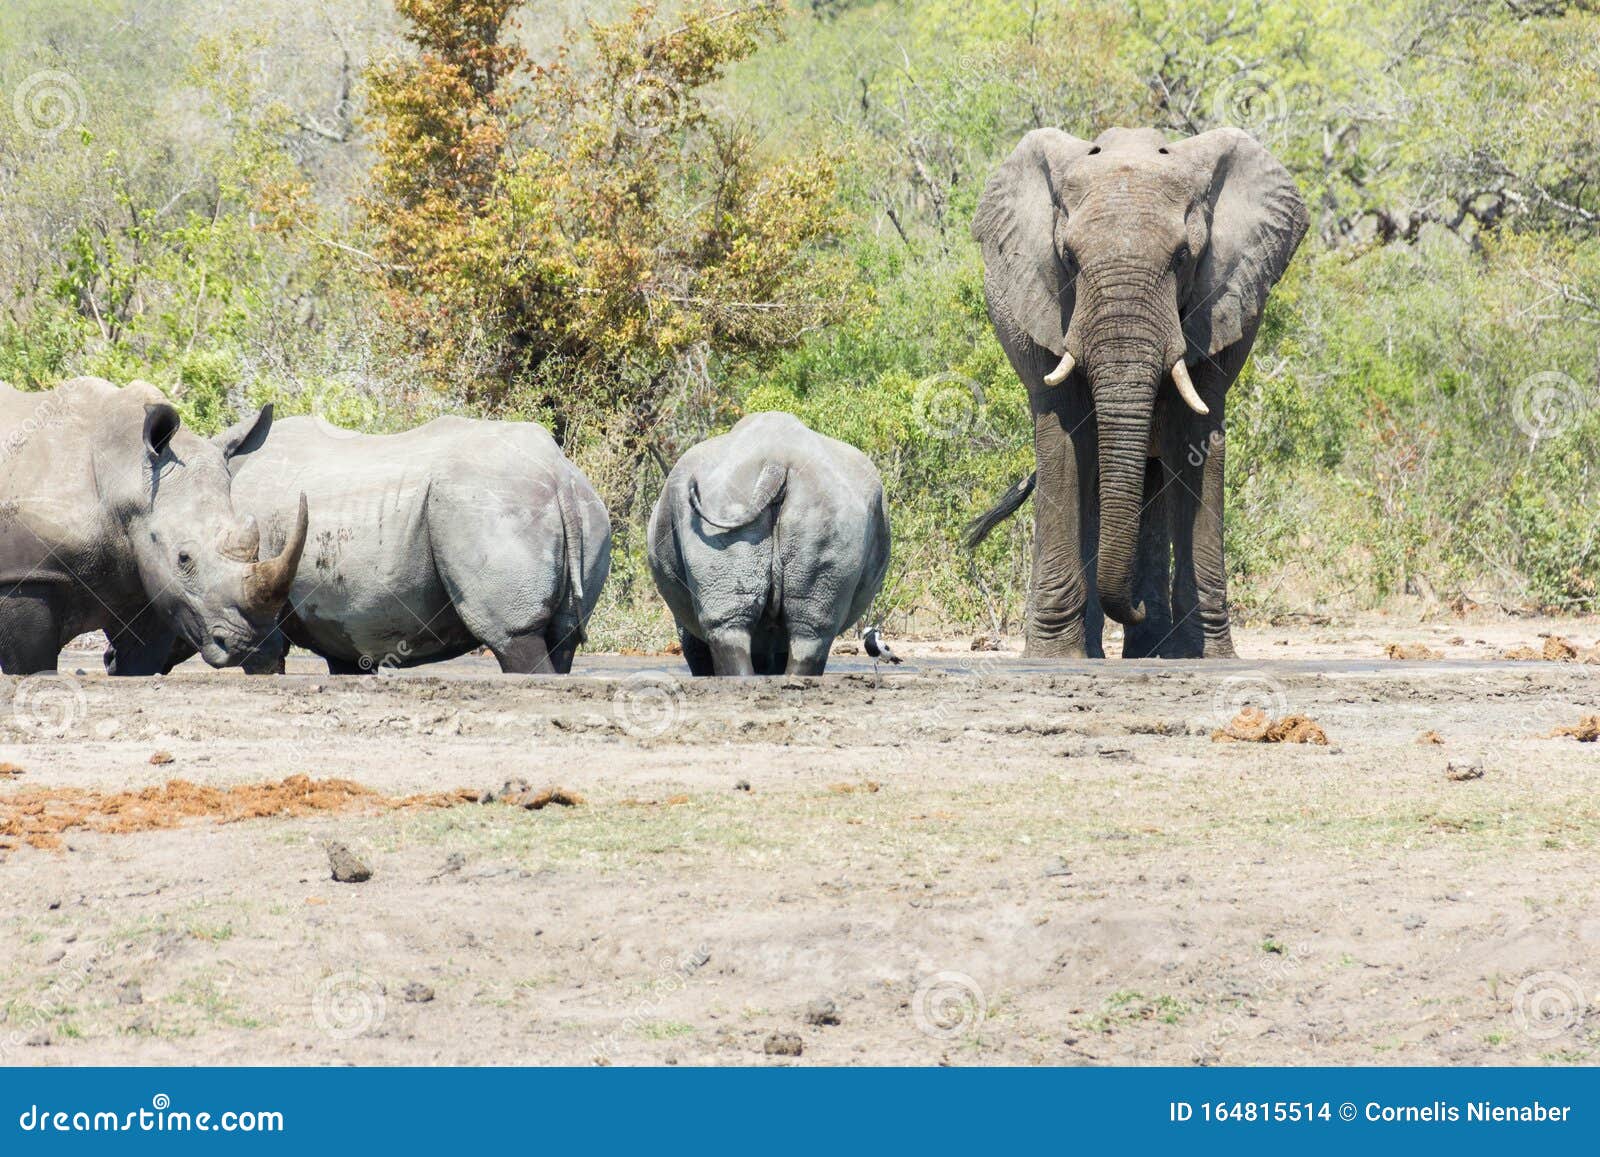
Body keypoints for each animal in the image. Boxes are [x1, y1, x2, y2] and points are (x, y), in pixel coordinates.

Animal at [0, 377, 307, 675]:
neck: (125, 472)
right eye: (183, 558)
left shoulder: (155, 588)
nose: (254, 646)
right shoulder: (26, 575)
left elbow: (140, 664)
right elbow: (33, 667)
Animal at [145, 414, 611, 675]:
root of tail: (559, 477)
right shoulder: (339, 622)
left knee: (515, 640)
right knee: (562, 641)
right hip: (587, 509)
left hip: (490, 507)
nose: (123, 659)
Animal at [648, 411, 890, 676]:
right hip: (829, 509)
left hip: (730, 499)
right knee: (810, 632)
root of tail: (776, 463)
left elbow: (696, 650)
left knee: (730, 629)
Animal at [965, 126, 1308, 658]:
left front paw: (1204, 657)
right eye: (1069, 258)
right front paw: (1055, 658)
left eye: (1183, 257)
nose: (1134, 606)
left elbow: (1196, 439)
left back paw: (1149, 646)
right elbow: (1065, 438)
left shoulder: (1220, 310)